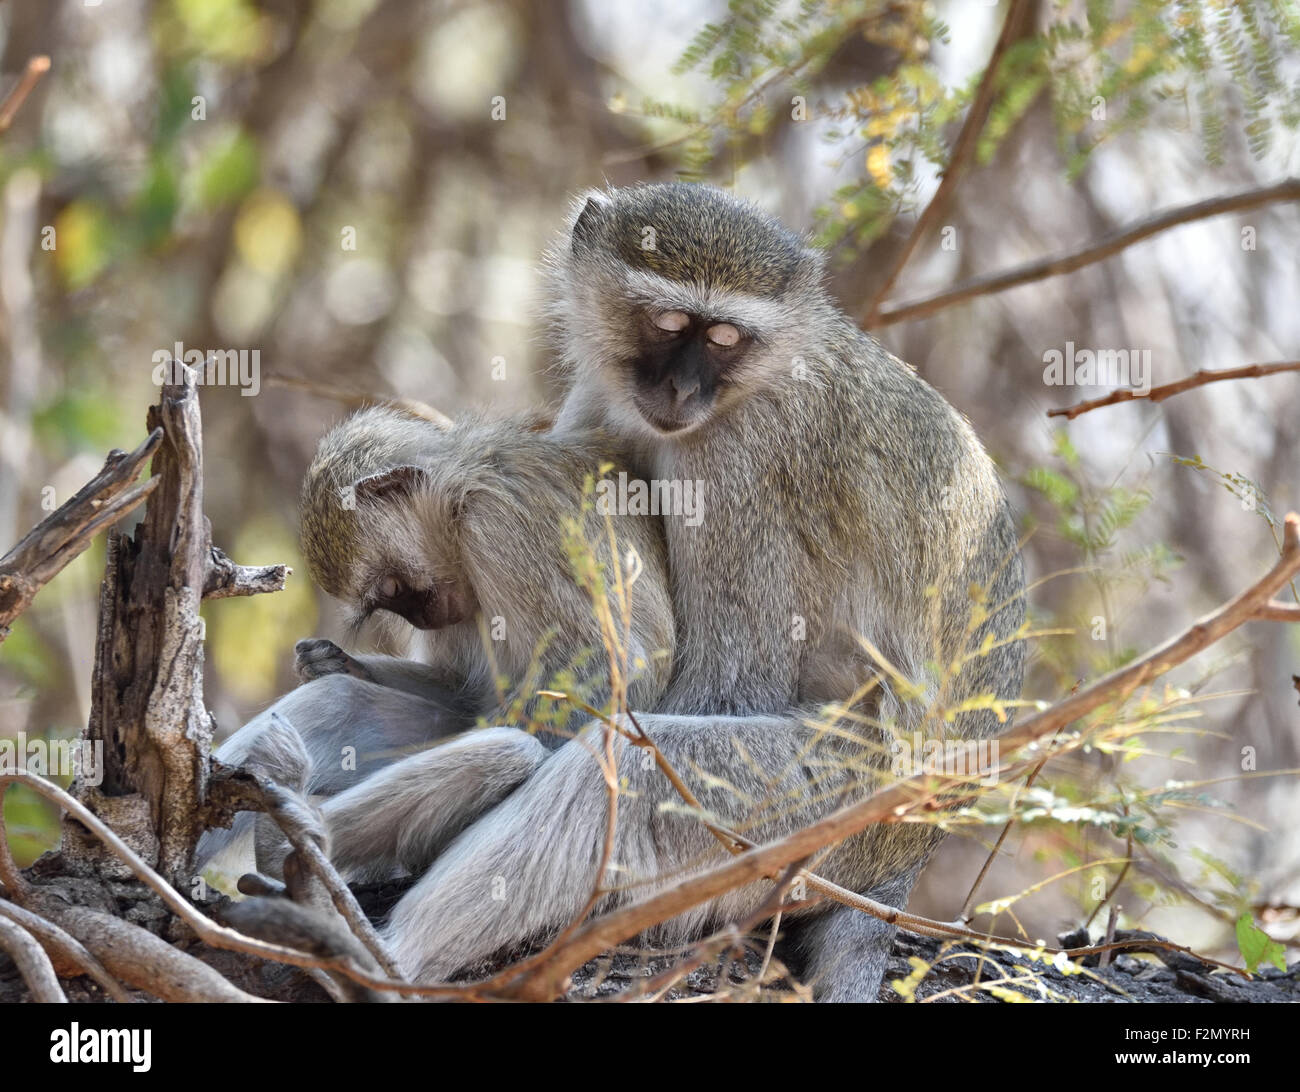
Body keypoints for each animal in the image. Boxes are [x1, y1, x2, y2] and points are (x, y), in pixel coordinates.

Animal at [198, 405, 675, 883]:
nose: (423, 621)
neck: (457, 494)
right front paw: (334, 662)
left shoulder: (499, 524)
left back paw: (283, 844)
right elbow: (462, 686)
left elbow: (604, 670)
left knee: (508, 749)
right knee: (335, 700)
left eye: (392, 588)